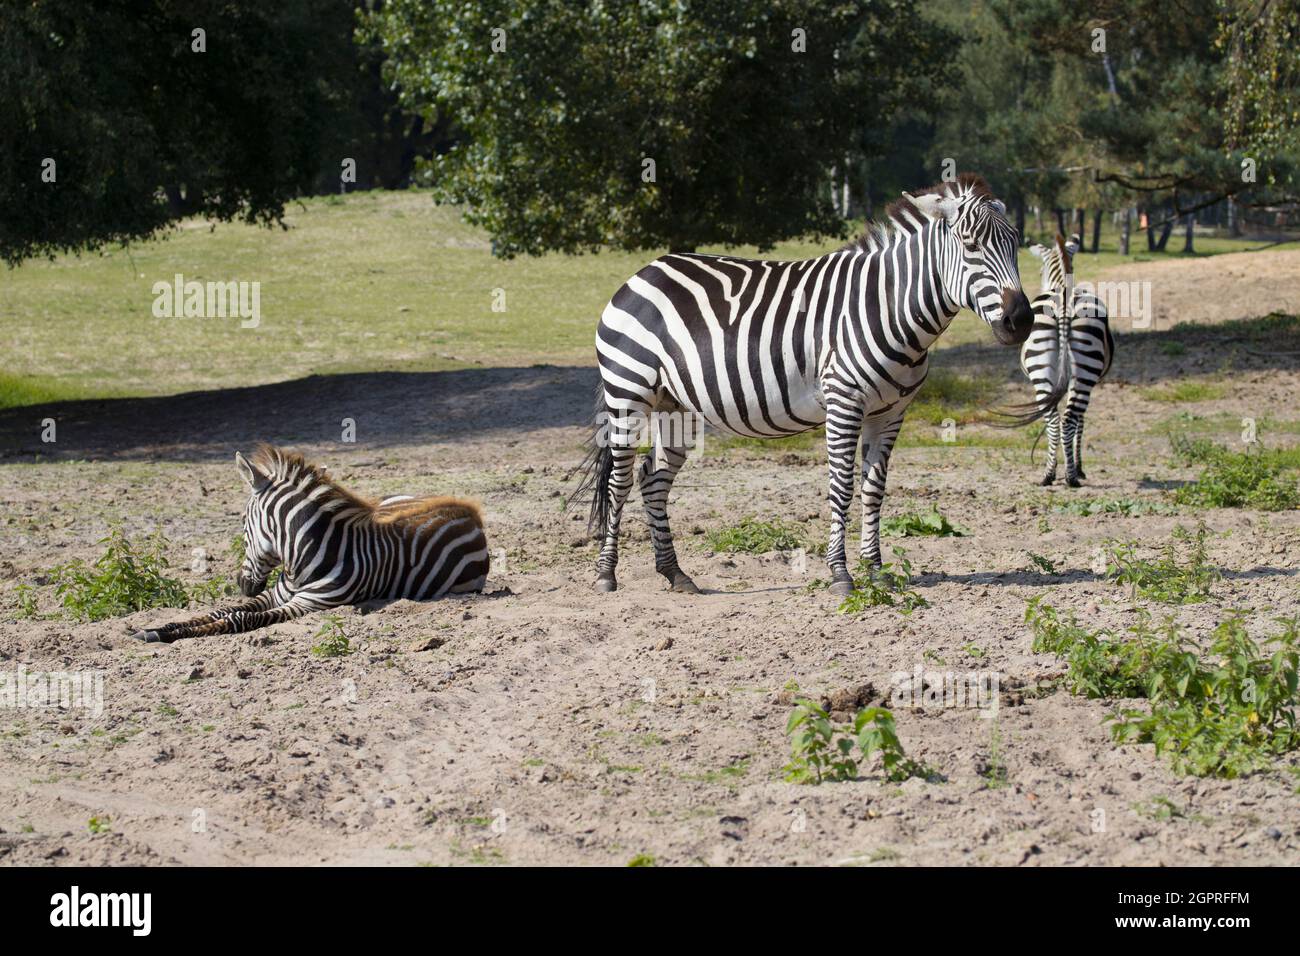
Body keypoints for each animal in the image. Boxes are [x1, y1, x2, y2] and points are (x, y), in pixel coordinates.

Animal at [132, 445, 489, 642]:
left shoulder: (308, 604)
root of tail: (467, 509)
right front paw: (159, 628)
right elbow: (221, 611)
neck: (300, 561)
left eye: (243, 524)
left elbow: (239, 619)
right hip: (388, 503)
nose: (241, 584)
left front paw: (166, 635)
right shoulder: (275, 594)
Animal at [573, 173, 1055, 598]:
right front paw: (840, 574)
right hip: (628, 392)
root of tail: (644, 271)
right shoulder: (844, 401)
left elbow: (874, 489)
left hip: (678, 406)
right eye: (971, 245)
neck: (891, 309)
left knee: (653, 479)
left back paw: (675, 574)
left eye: (1015, 245)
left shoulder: (891, 413)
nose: (1021, 320)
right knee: (619, 481)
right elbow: (841, 486)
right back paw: (606, 575)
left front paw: (876, 571)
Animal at [1020, 233, 1113, 486]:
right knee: (1070, 418)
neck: (1061, 281)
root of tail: (1063, 301)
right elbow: (1081, 421)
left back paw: (1049, 474)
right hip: (1084, 369)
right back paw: (1071, 476)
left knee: (1054, 419)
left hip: (1043, 366)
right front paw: (1079, 467)